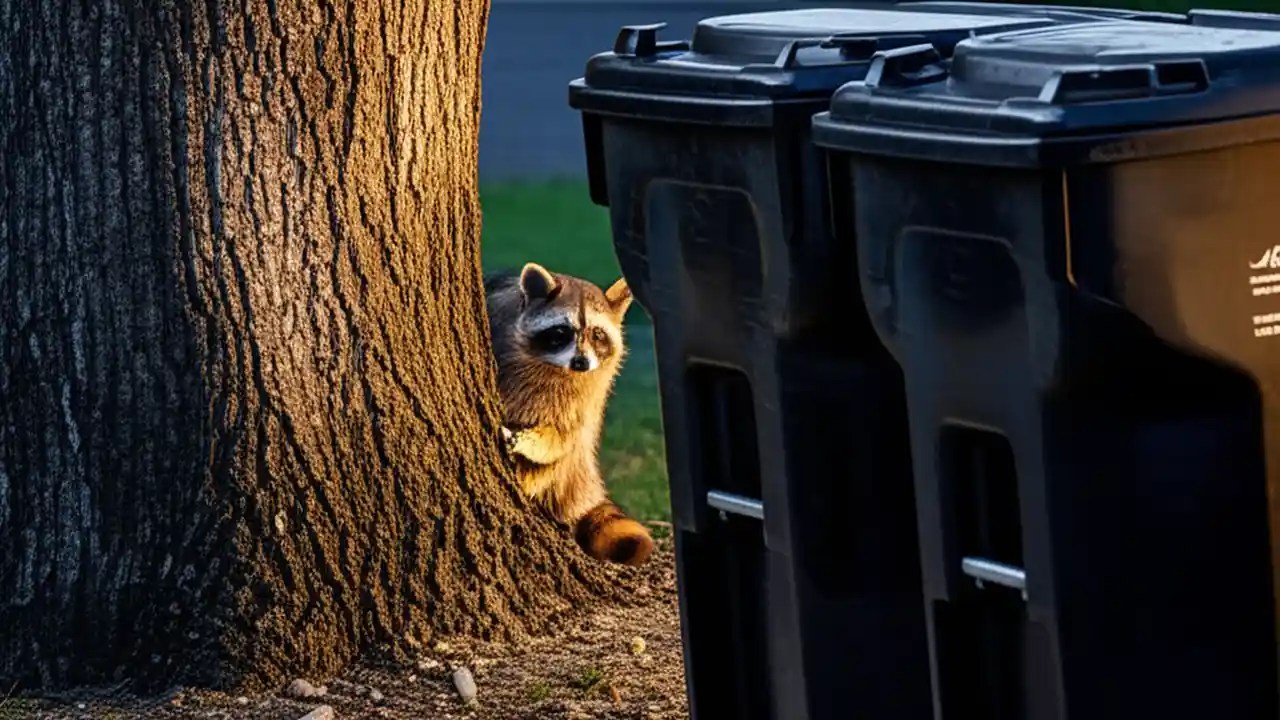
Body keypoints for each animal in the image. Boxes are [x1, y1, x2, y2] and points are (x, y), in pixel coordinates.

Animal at [485, 262, 655, 567]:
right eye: (561, 332)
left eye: (598, 334)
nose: (581, 362)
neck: (558, 369)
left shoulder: (590, 391)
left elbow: (563, 433)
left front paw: (533, 440)